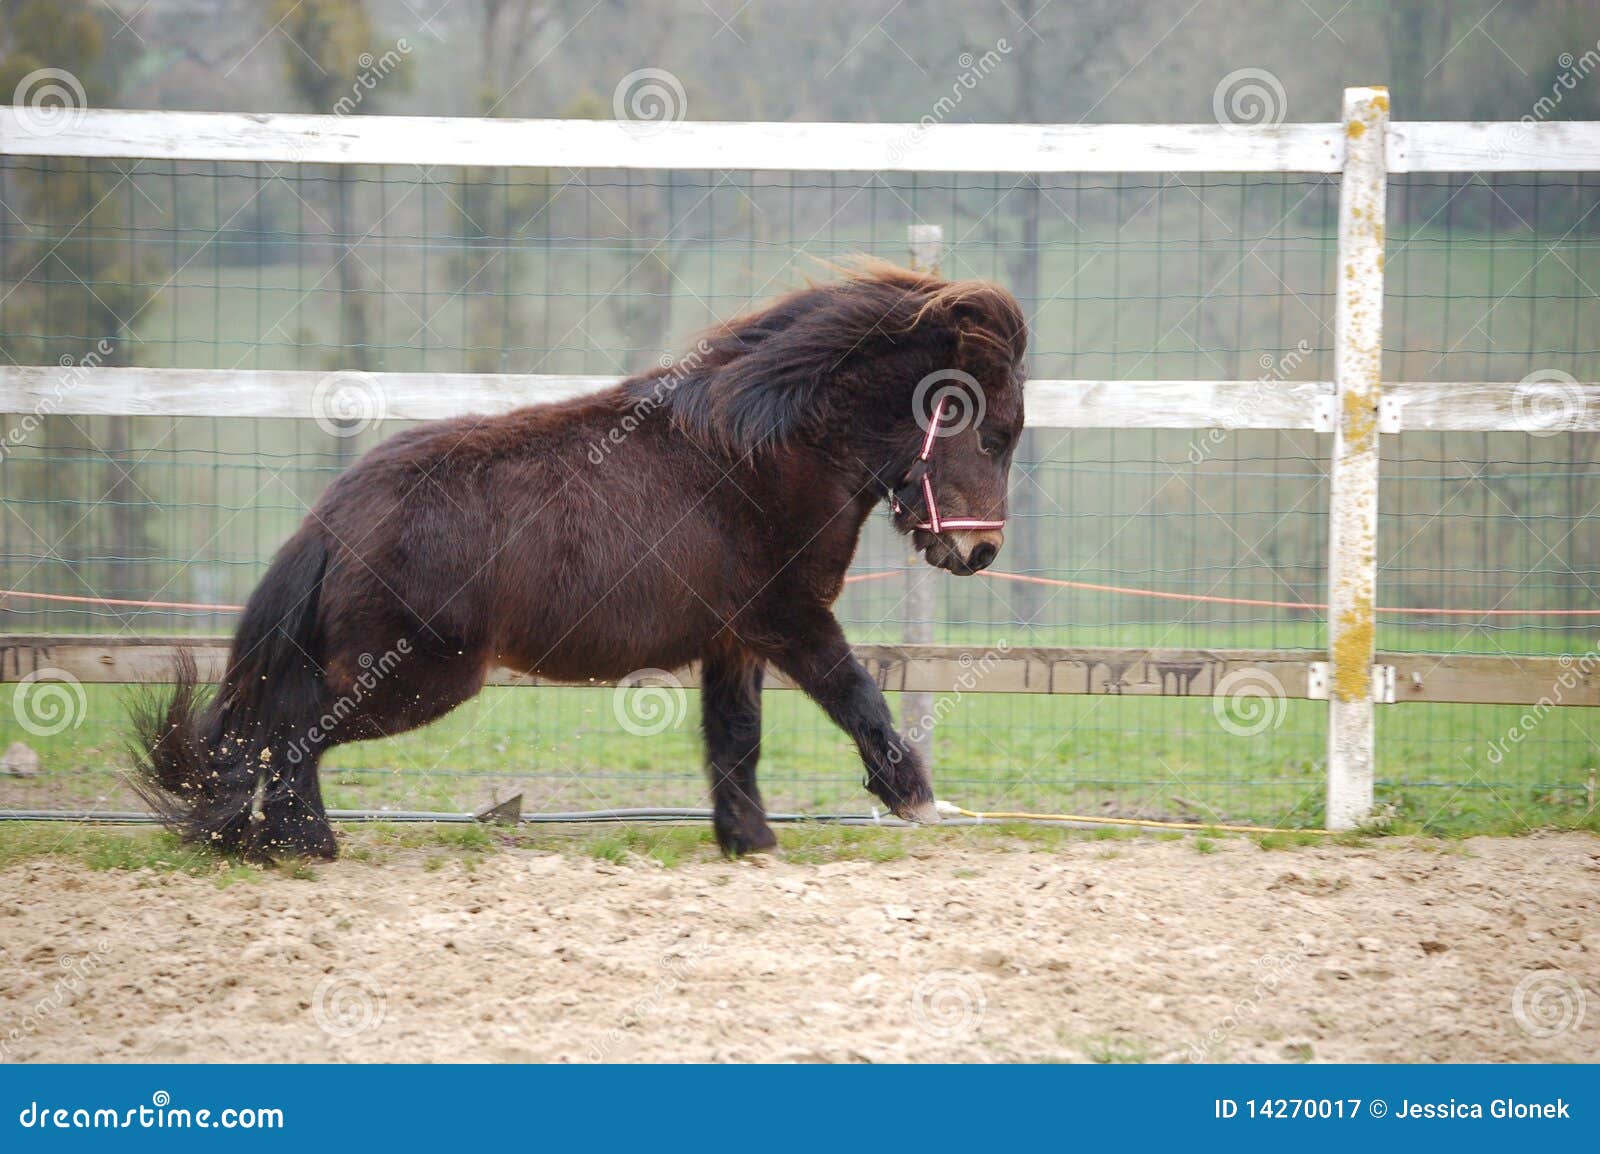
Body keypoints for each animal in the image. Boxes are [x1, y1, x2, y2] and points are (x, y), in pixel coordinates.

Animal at [130, 261, 1028, 861]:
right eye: (993, 435)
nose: (979, 551)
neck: (764, 454)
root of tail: (331, 520)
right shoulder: (791, 619)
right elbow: (857, 696)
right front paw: (913, 798)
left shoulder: (735, 639)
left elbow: (735, 741)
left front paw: (750, 842)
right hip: (416, 675)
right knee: (291, 728)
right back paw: (303, 843)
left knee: (278, 728)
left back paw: (281, 840)